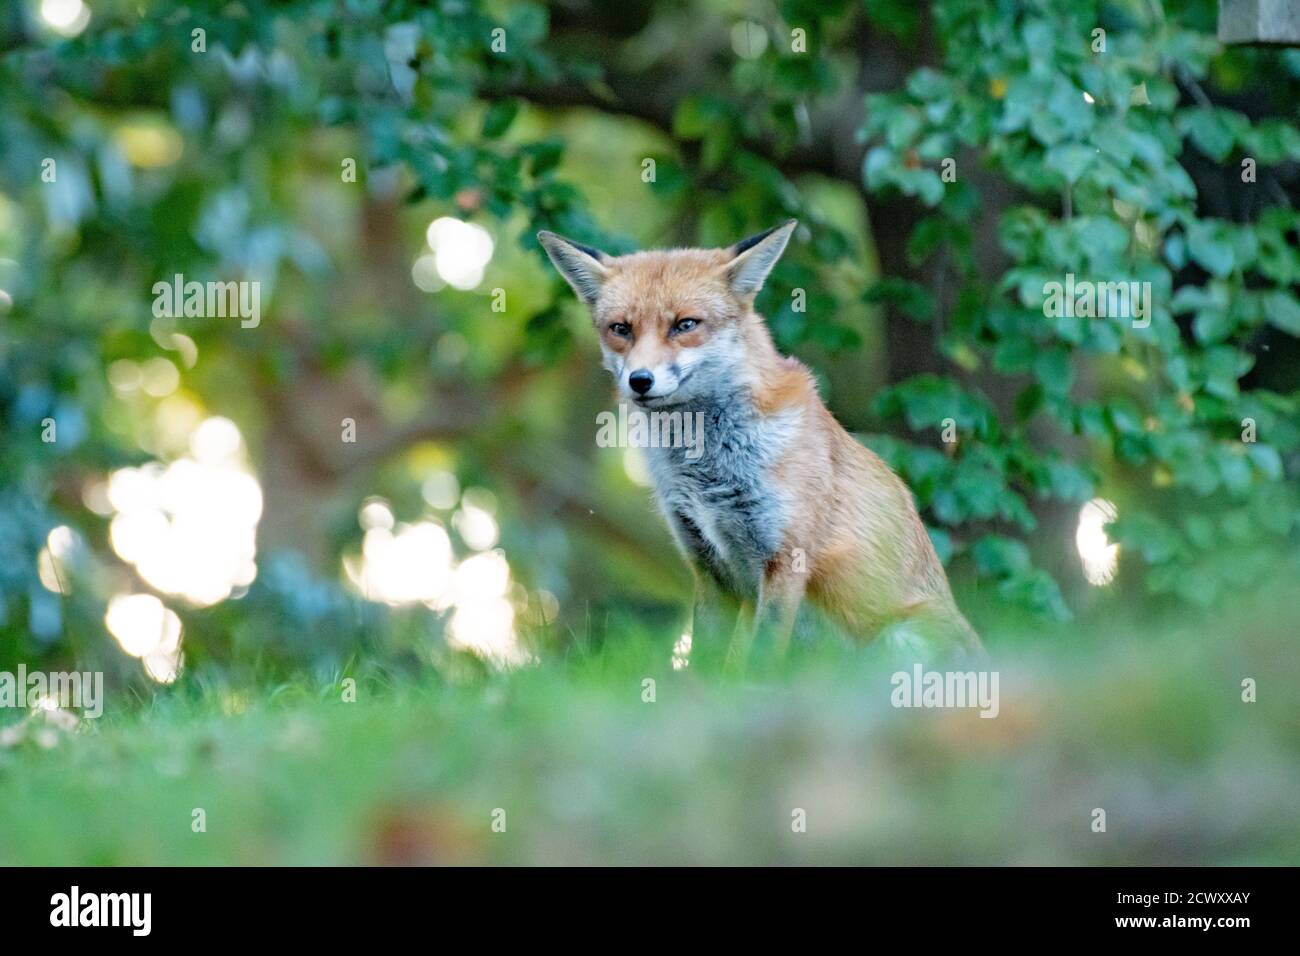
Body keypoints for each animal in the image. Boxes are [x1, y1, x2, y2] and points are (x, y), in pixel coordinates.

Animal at [539, 219, 981, 660]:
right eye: (621, 329)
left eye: (685, 324)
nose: (639, 381)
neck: (708, 468)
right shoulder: (707, 564)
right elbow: (705, 658)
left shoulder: (784, 558)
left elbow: (760, 658)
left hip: (898, 639)